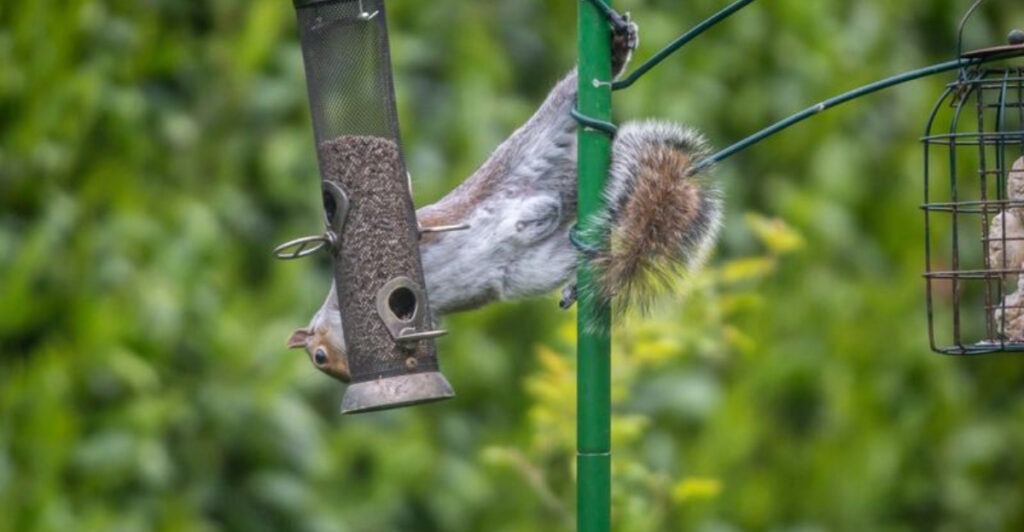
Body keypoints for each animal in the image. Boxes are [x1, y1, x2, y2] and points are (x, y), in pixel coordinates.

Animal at [287, 19, 722, 382]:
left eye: (319, 357)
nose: (348, 373)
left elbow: (423, 223)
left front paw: (413, 225)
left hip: (536, 150)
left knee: (564, 104)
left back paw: (617, 47)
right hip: (532, 268)